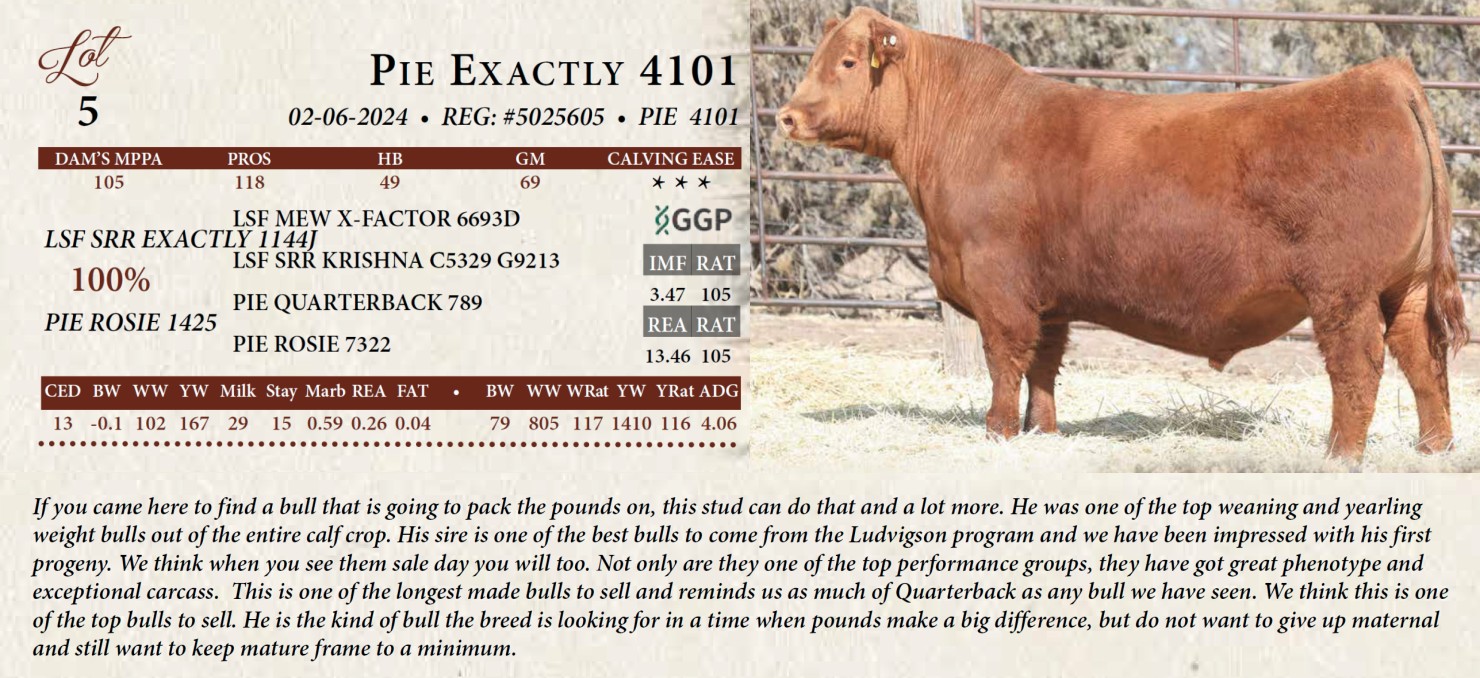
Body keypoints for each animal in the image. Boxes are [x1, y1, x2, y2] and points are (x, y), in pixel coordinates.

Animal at [776, 7, 1469, 461]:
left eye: (846, 62)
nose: (786, 116)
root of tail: (1381, 76)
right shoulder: (1049, 297)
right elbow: (1044, 365)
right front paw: (1044, 433)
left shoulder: (998, 286)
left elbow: (1004, 361)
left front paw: (997, 433)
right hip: (1404, 285)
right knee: (1421, 356)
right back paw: (1433, 447)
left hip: (1343, 292)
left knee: (1359, 365)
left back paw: (1340, 456)